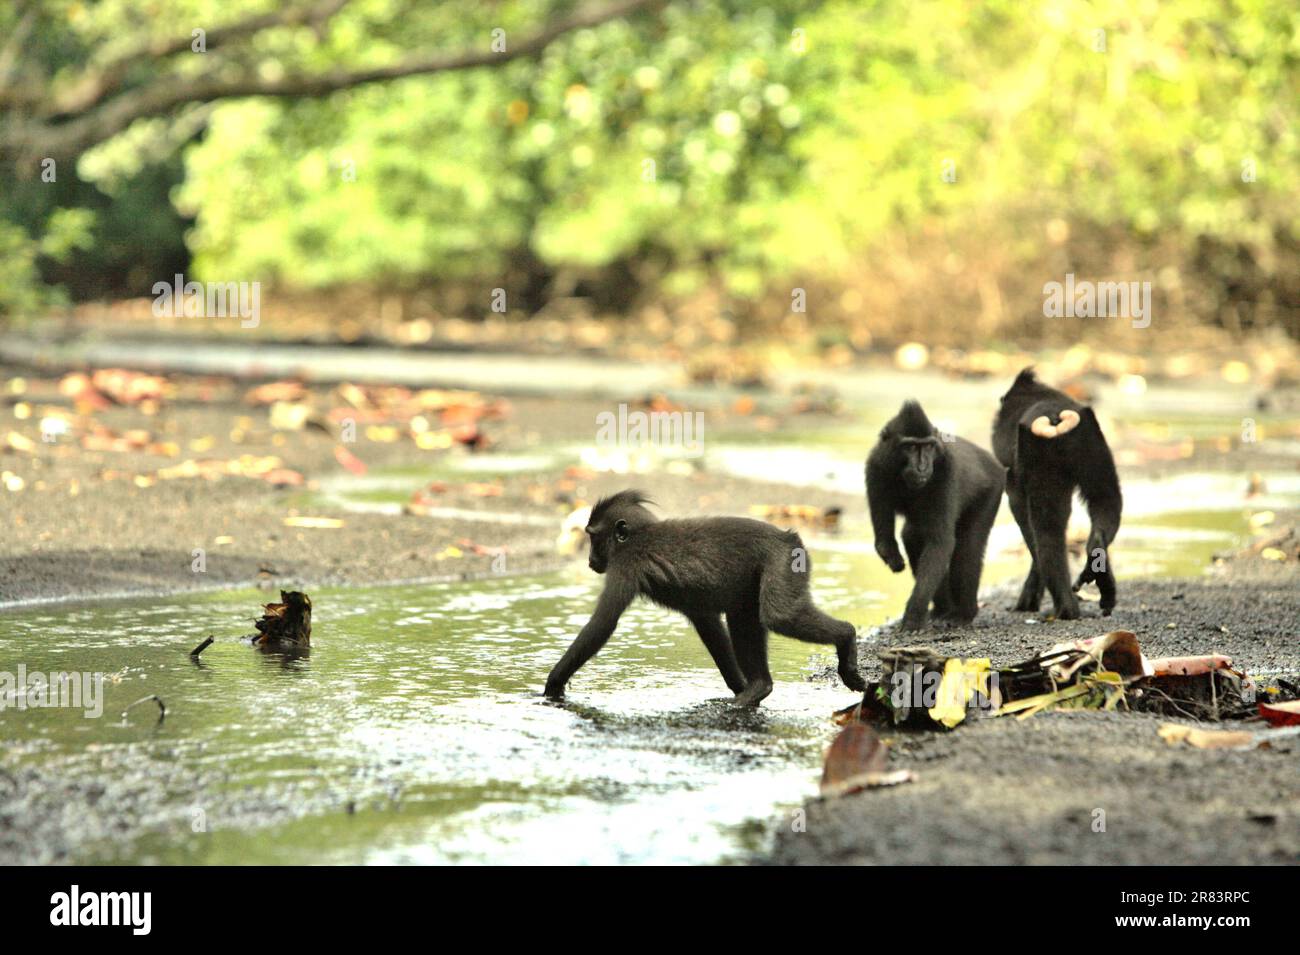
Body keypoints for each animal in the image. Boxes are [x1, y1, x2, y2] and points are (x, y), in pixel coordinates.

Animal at [543, 490, 864, 707]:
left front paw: (551, 688)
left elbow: (603, 624)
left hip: (783, 561)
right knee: (742, 616)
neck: (639, 535)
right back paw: (757, 689)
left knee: (780, 615)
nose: (589, 560)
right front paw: (737, 685)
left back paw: (847, 636)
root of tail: (789, 537)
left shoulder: (625, 564)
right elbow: (707, 623)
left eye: (592, 537)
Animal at [866, 401, 1005, 630]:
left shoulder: (946, 471)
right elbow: (884, 542)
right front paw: (894, 559)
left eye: (929, 446)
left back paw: (964, 613)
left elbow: (940, 543)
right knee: (913, 537)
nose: (922, 466)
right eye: (911, 447)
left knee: (967, 547)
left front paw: (913, 615)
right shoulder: (875, 468)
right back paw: (944, 608)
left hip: (992, 487)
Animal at [992, 368, 1122, 619]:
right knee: (1106, 500)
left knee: (1047, 533)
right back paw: (1100, 569)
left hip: (1043, 461)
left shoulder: (1015, 478)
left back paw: (1066, 608)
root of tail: (1053, 416)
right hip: (1091, 443)